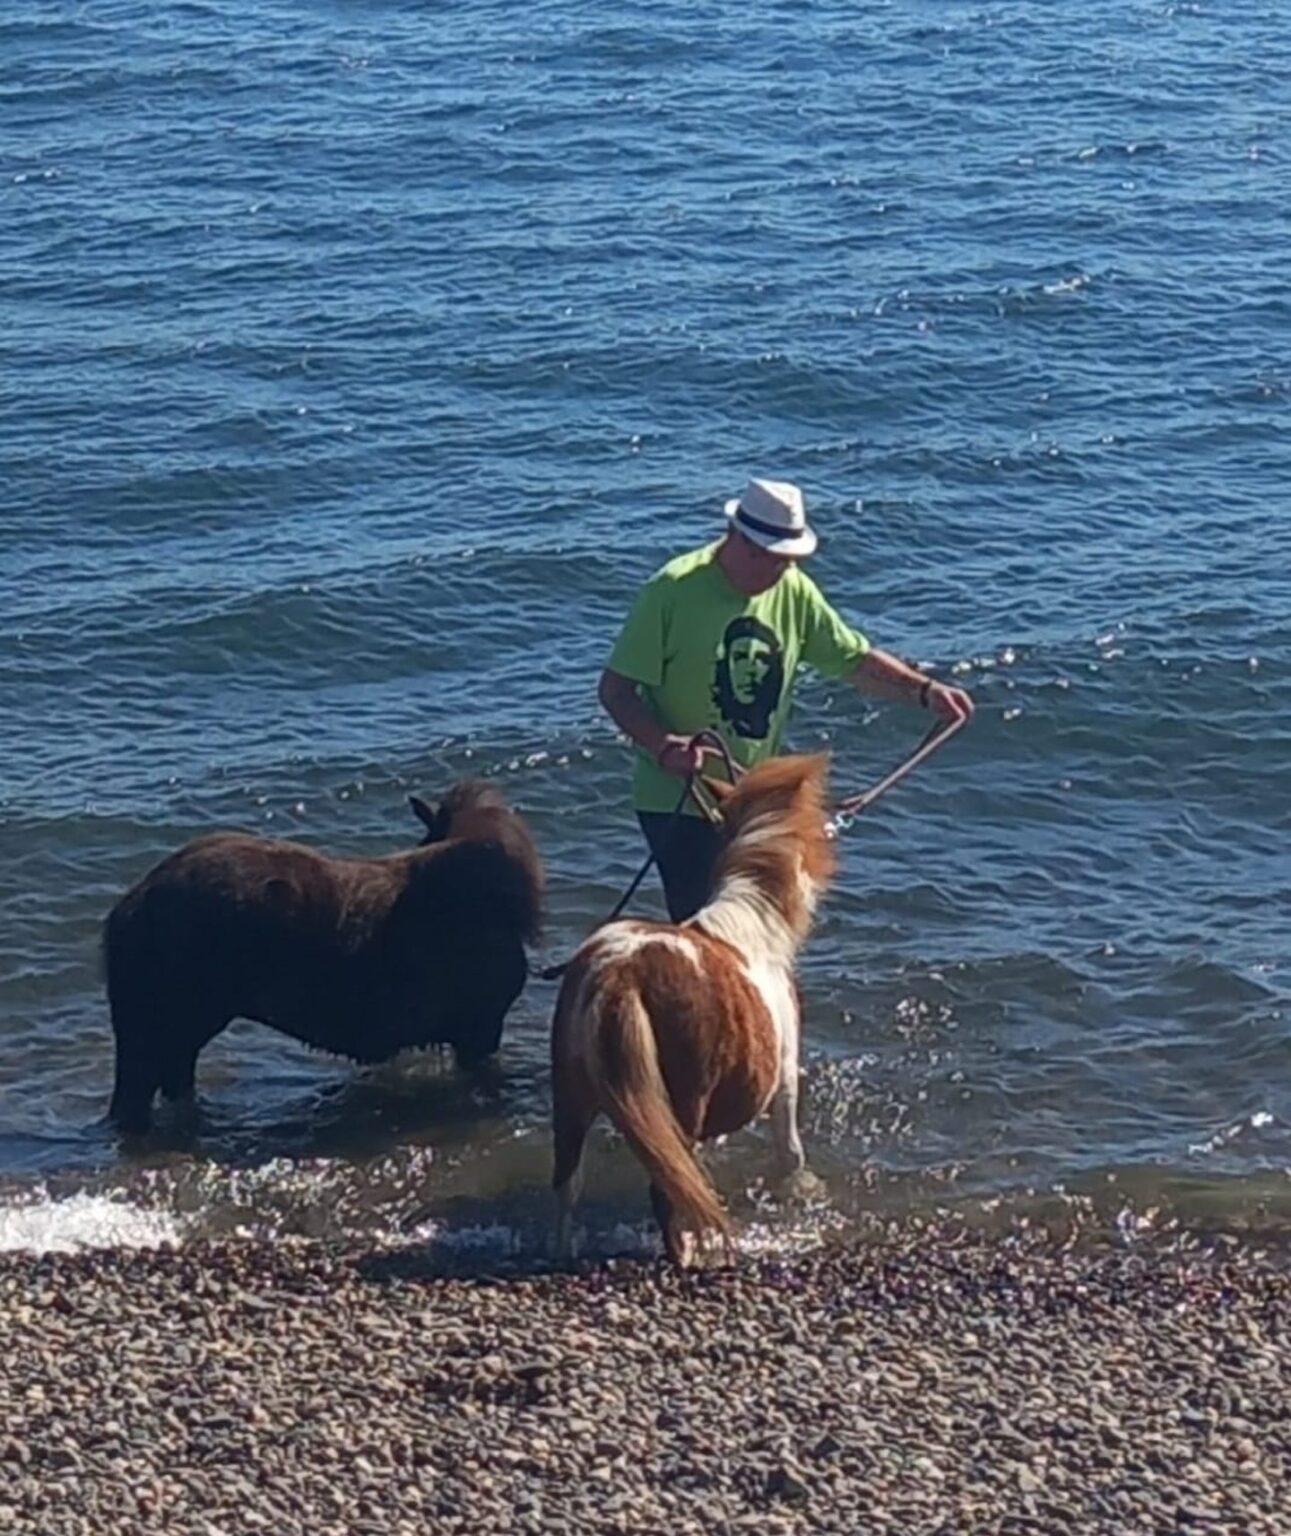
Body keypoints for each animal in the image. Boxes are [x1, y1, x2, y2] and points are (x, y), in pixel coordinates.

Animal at [549, 753, 835, 1265]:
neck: (754, 924)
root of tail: (618, 975)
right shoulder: (784, 1079)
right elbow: (790, 1154)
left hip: (571, 1102)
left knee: (569, 1183)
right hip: (679, 1105)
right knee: (666, 1194)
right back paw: (688, 1257)